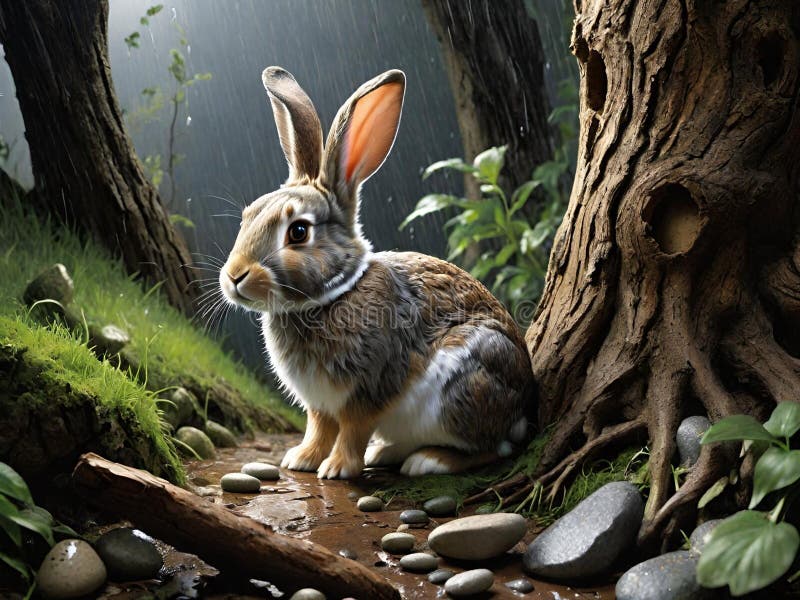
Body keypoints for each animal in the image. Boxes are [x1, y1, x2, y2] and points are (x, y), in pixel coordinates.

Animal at [219, 66, 535, 479]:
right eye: (247, 216)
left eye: (298, 231)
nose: (234, 276)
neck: (333, 295)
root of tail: (527, 411)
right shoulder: (320, 403)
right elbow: (319, 427)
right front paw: (301, 459)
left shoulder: (370, 385)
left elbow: (353, 427)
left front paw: (337, 468)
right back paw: (383, 453)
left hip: (465, 386)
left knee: (493, 448)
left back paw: (427, 461)